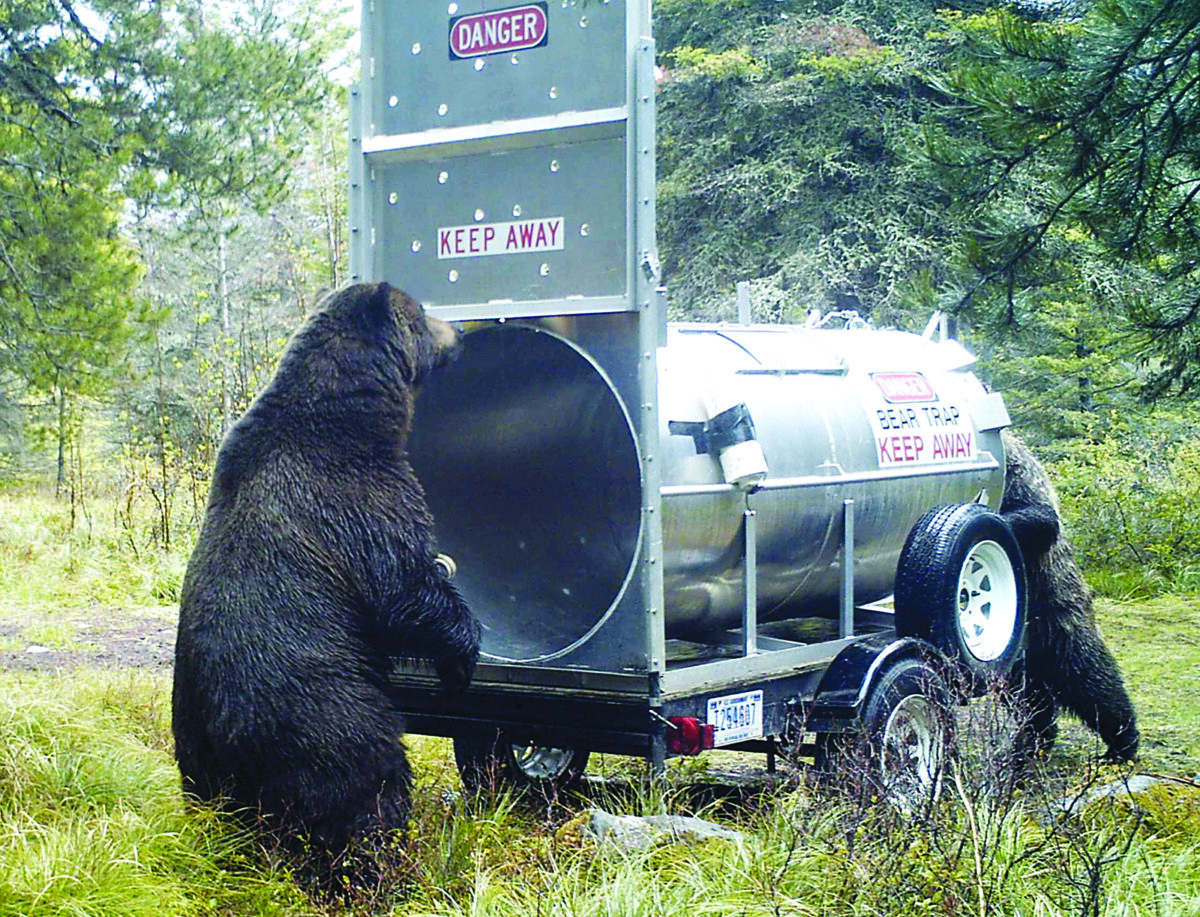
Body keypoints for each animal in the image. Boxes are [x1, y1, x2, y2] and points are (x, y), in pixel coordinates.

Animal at [171, 281, 481, 878]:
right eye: (424, 313)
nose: (461, 331)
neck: (352, 415)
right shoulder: (355, 498)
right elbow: (403, 590)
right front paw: (461, 658)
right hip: (328, 718)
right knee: (366, 786)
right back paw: (384, 859)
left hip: (193, 748)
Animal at [999, 429, 1139, 762]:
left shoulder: (1019, 476)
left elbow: (1039, 516)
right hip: (1017, 655)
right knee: (1028, 696)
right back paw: (1030, 741)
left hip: (1058, 614)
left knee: (1091, 679)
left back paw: (1122, 743)